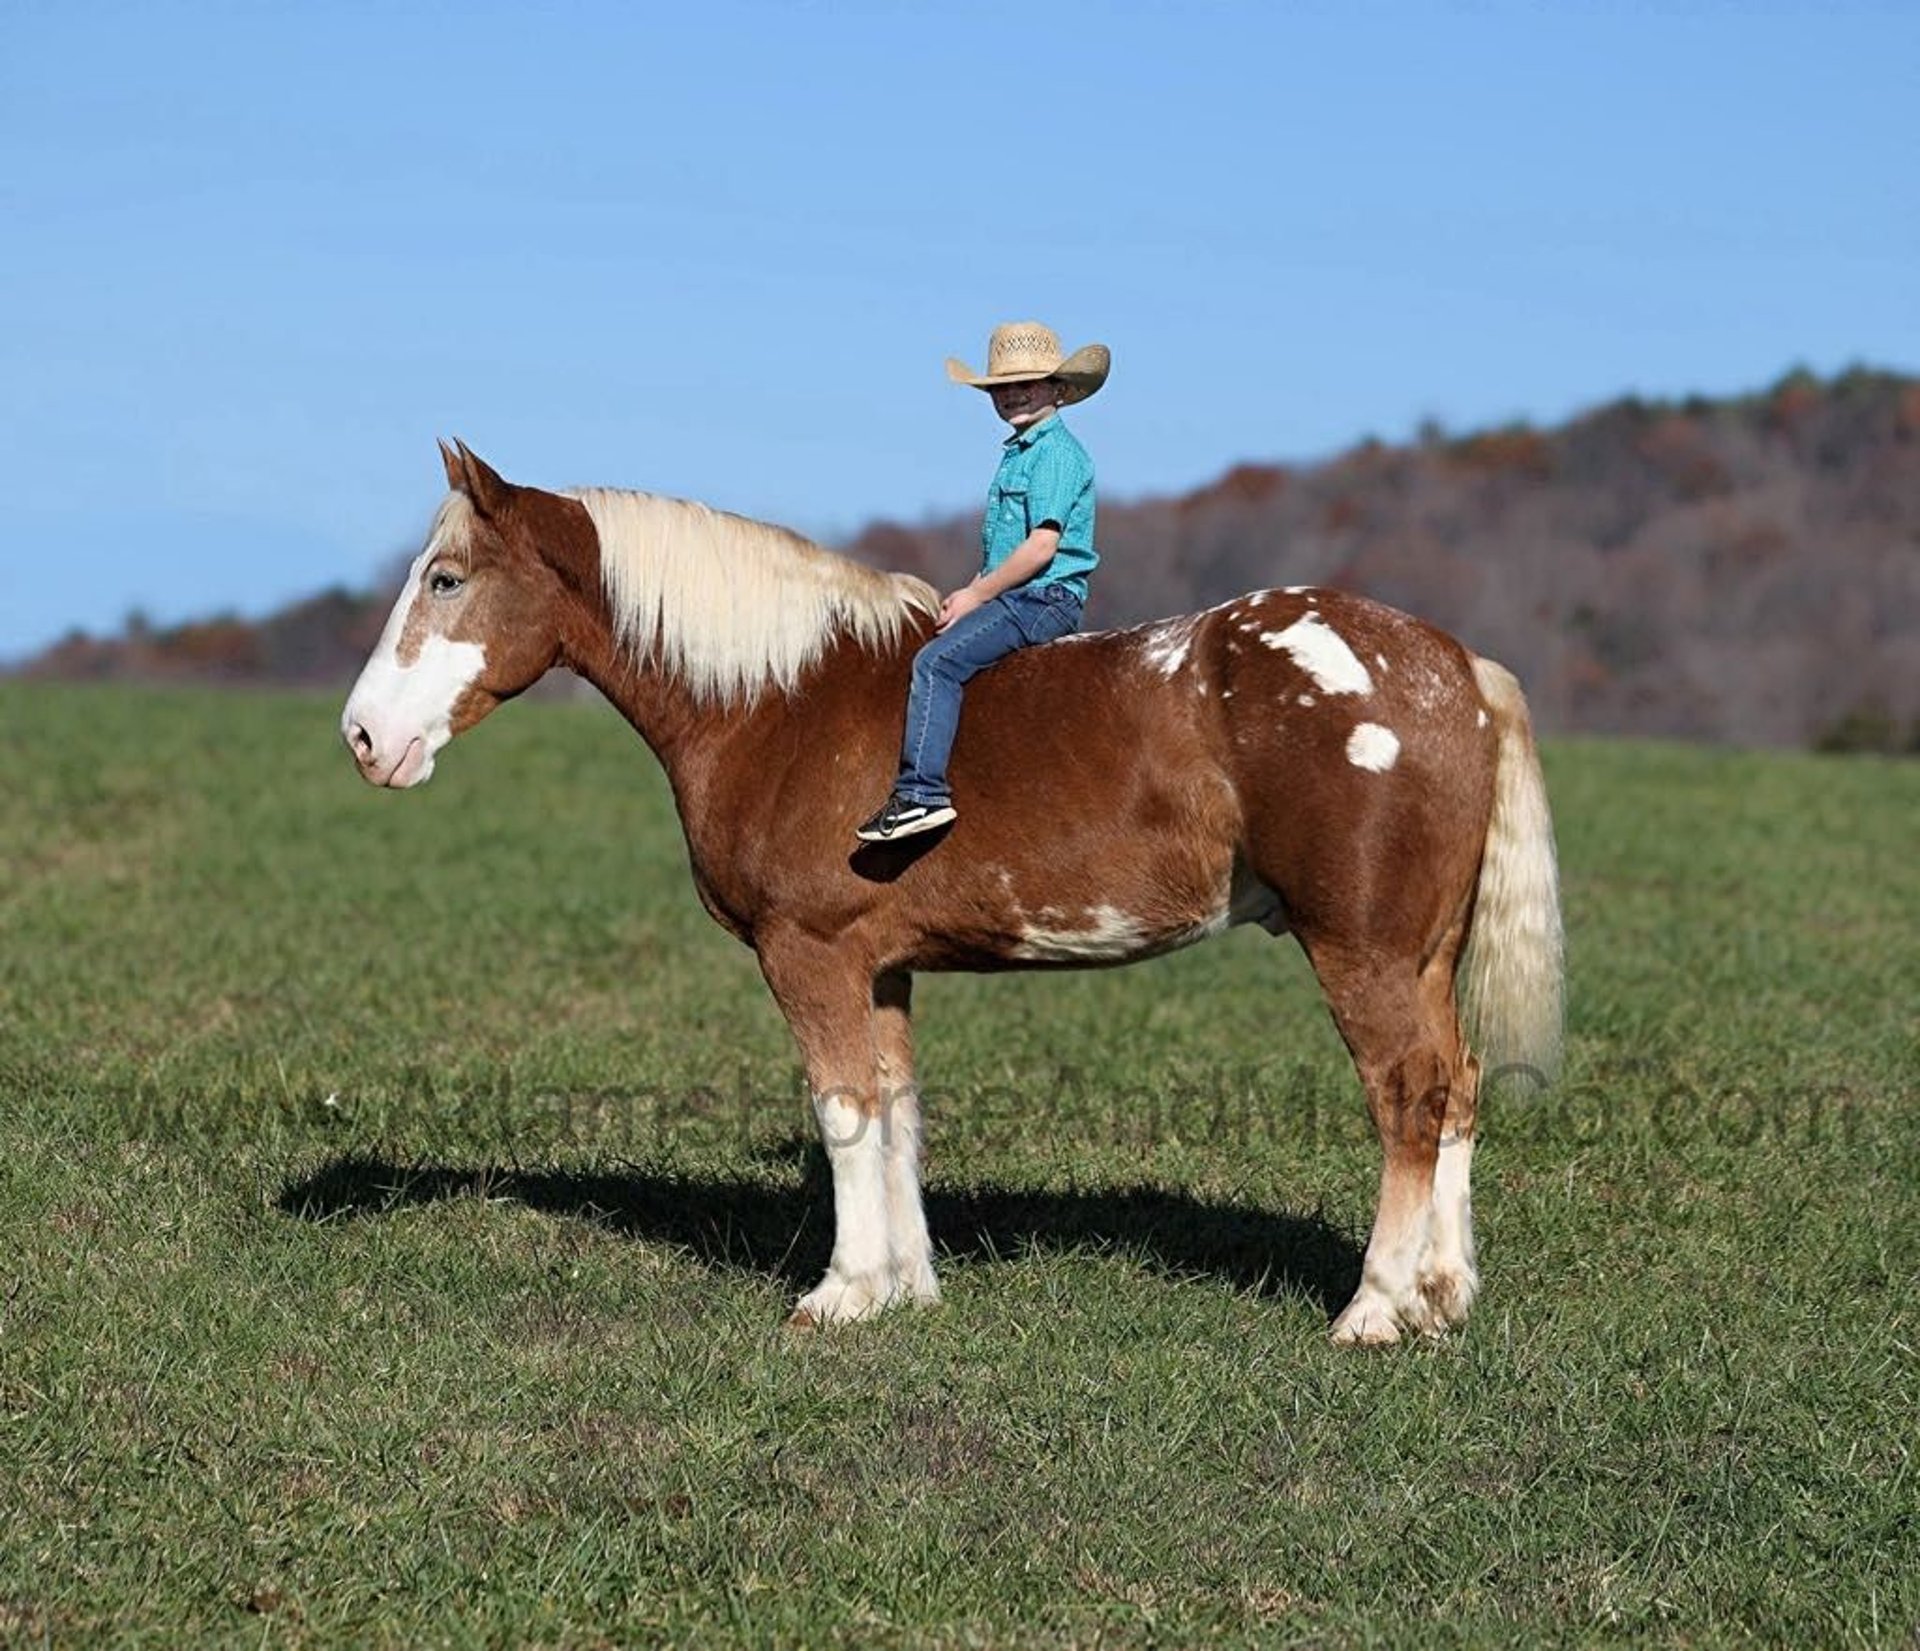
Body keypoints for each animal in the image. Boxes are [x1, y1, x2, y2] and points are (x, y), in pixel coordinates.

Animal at [341, 441, 1563, 1344]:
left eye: (446, 579)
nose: (361, 736)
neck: (781, 700)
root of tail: (1452, 665)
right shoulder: (878, 966)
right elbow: (894, 1112)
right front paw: (903, 1287)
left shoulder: (809, 953)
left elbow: (842, 1110)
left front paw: (838, 1294)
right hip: (1425, 954)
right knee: (1457, 1085)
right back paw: (1444, 1295)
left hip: (1362, 950)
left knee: (1408, 1096)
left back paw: (1373, 1309)